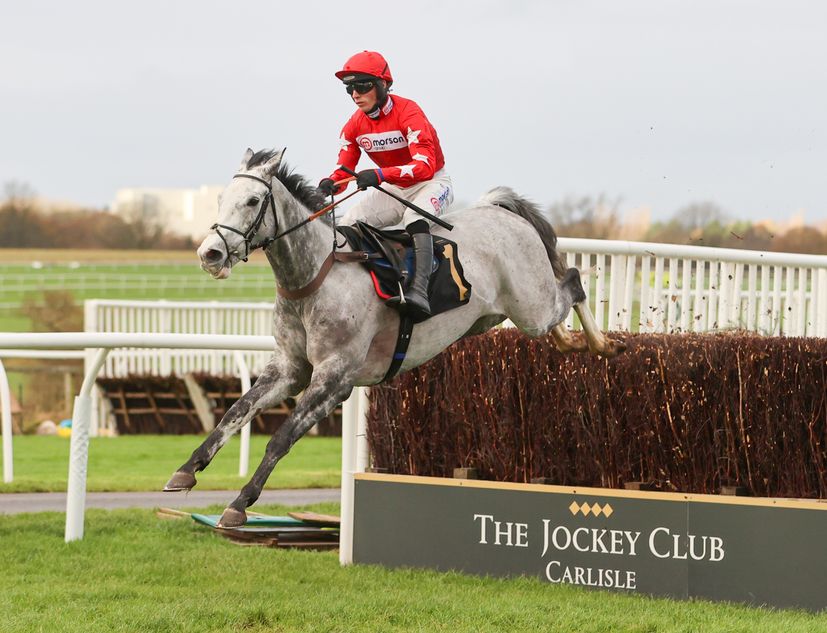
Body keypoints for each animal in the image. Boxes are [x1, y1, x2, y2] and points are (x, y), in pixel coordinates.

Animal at [163, 147, 626, 527]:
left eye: (253, 201)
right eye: (221, 199)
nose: (210, 254)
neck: (316, 277)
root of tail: (501, 210)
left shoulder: (335, 379)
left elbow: (281, 437)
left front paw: (240, 502)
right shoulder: (290, 369)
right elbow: (234, 413)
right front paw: (186, 470)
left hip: (531, 306)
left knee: (573, 281)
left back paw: (604, 344)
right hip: (503, 314)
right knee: (559, 303)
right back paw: (571, 342)